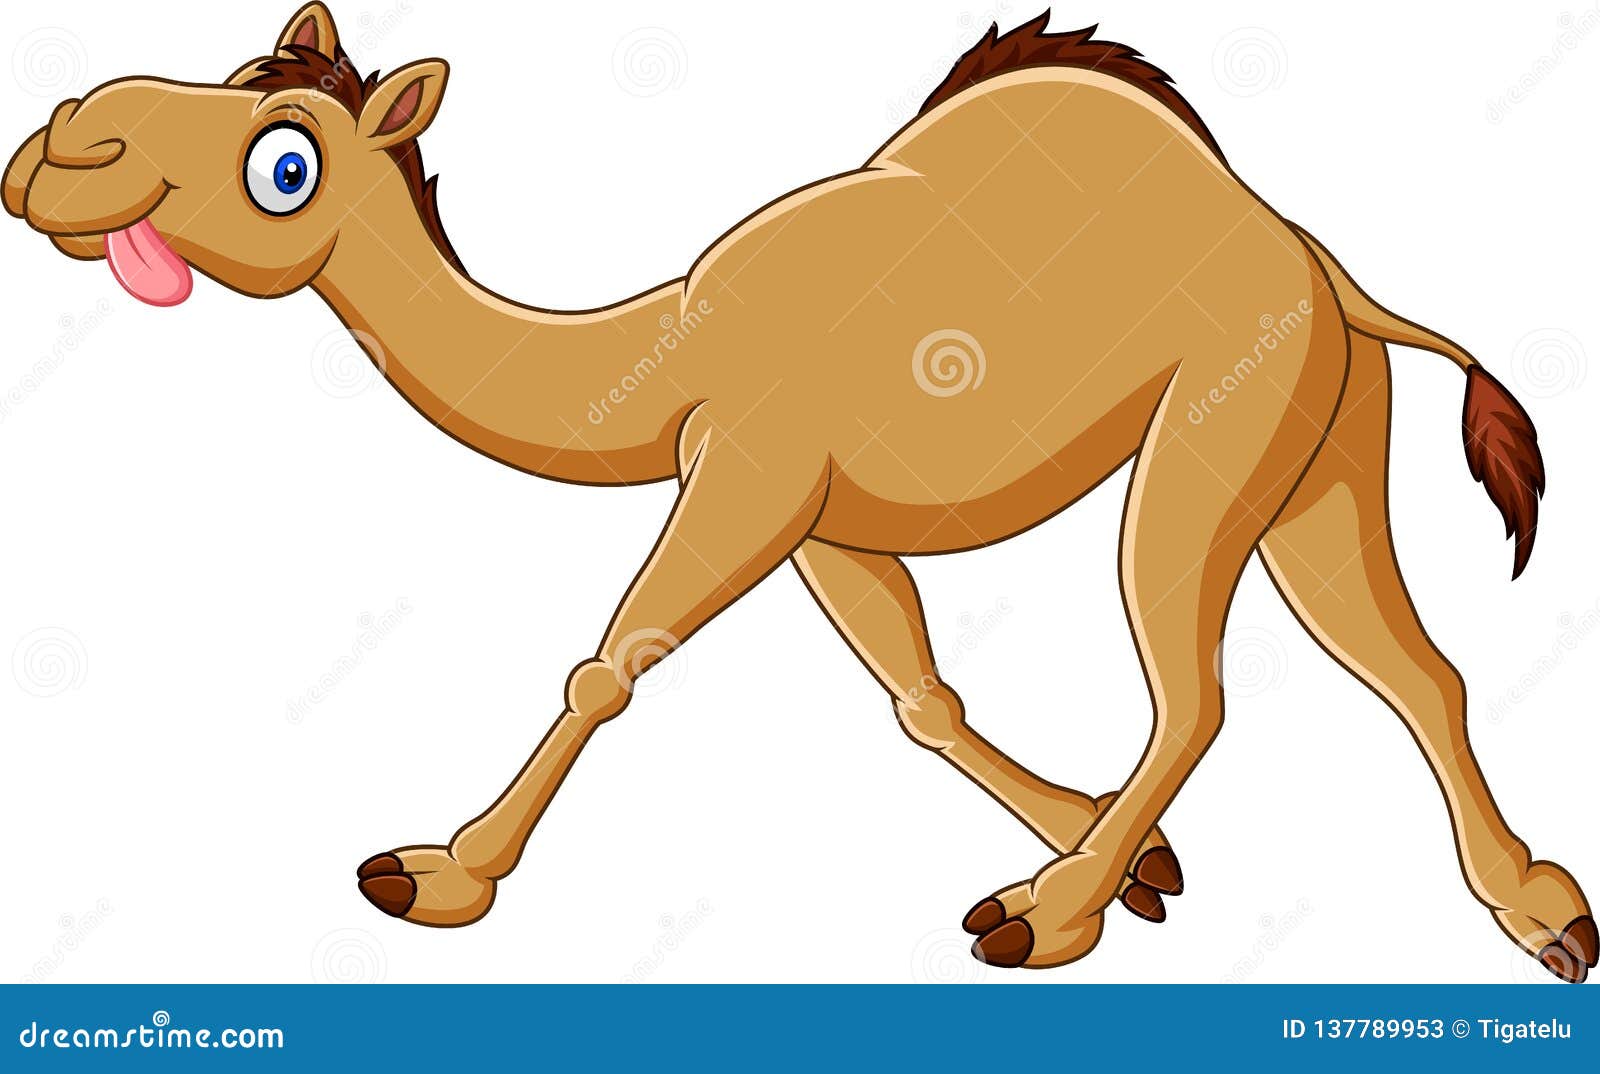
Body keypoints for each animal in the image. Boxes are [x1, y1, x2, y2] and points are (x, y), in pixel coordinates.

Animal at [4, 4, 1593, 981]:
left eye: (285, 162)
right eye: (230, 76)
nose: (61, 147)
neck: (658, 354)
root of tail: (1326, 265)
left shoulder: (749, 475)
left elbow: (610, 663)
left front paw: (437, 874)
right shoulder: (829, 530)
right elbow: (921, 697)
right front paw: (1127, 854)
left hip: (1215, 427)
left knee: (1199, 689)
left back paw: (1040, 921)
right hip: (1316, 450)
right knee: (1416, 669)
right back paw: (1541, 914)